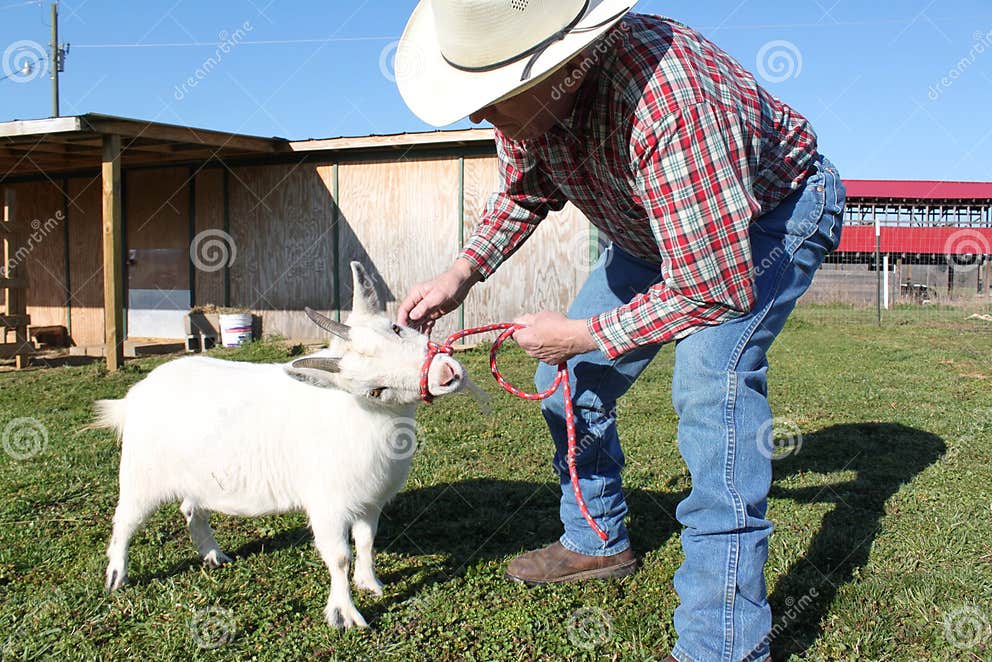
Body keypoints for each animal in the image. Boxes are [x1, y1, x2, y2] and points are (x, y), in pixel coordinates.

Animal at [94, 262, 465, 628]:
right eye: (375, 389)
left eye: (397, 329)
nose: (448, 374)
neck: (358, 411)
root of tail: (134, 396)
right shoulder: (328, 505)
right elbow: (340, 557)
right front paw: (345, 615)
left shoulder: (369, 501)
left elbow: (365, 542)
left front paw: (371, 584)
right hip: (141, 478)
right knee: (125, 521)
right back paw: (116, 576)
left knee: (191, 510)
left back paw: (214, 555)